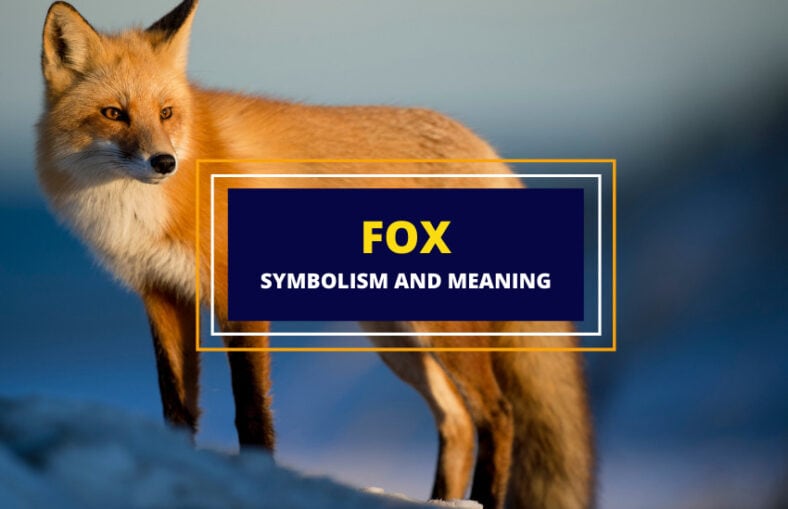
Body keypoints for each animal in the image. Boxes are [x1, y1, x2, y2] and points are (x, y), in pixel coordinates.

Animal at [36, 1, 593, 508]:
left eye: (167, 113)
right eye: (114, 113)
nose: (164, 162)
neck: (143, 210)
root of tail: (484, 147)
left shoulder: (238, 298)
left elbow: (252, 411)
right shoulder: (162, 295)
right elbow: (177, 409)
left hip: (440, 328)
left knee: (498, 414)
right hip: (395, 337)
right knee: (457, 421)